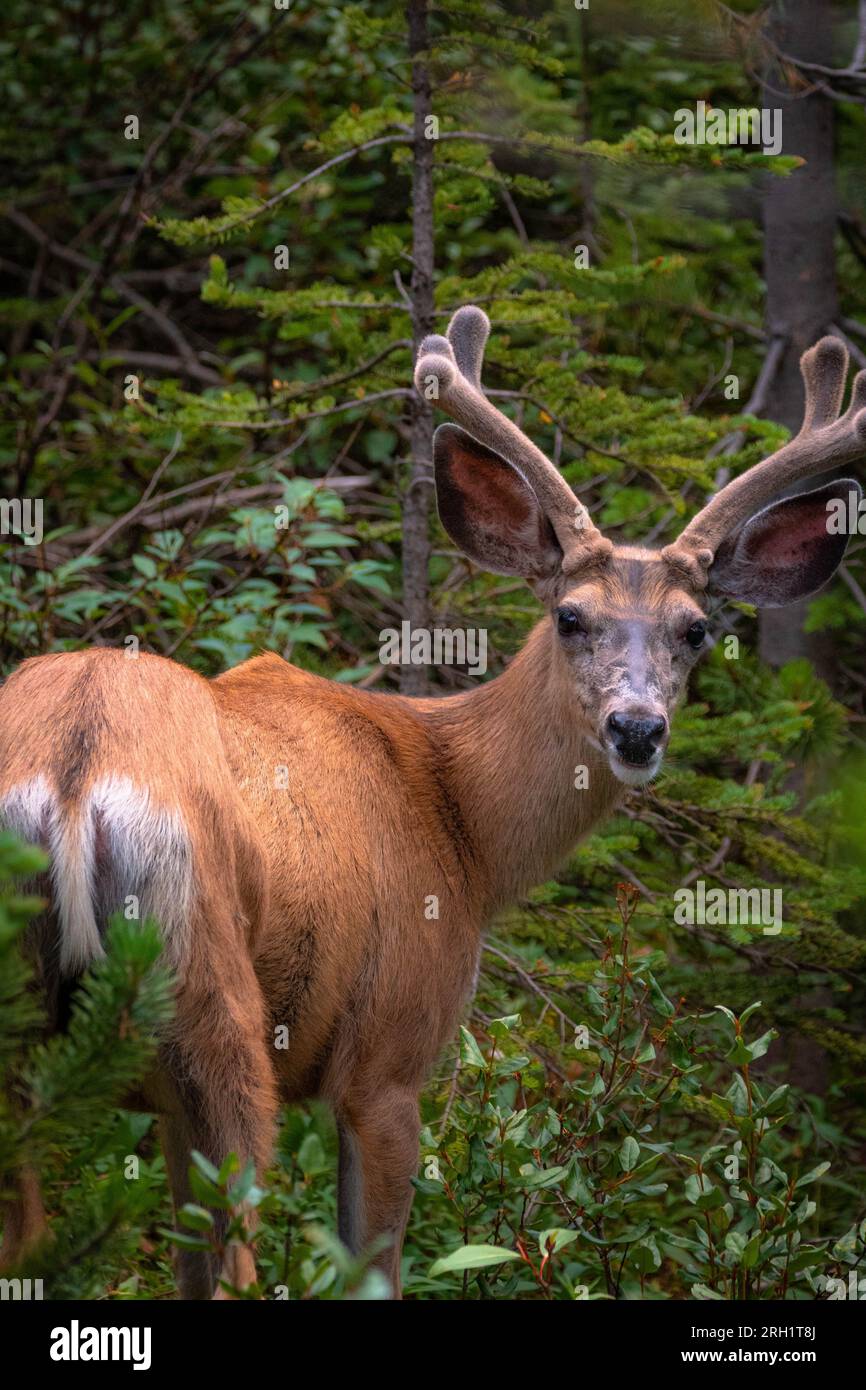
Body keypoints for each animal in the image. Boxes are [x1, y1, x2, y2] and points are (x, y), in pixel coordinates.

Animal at [0, 307, 863, 1299]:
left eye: (695, 629)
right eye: (570, 616)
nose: (637, 728)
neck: (464, 825)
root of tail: (75, 768)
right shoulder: (390, 1055)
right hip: (215, 997)